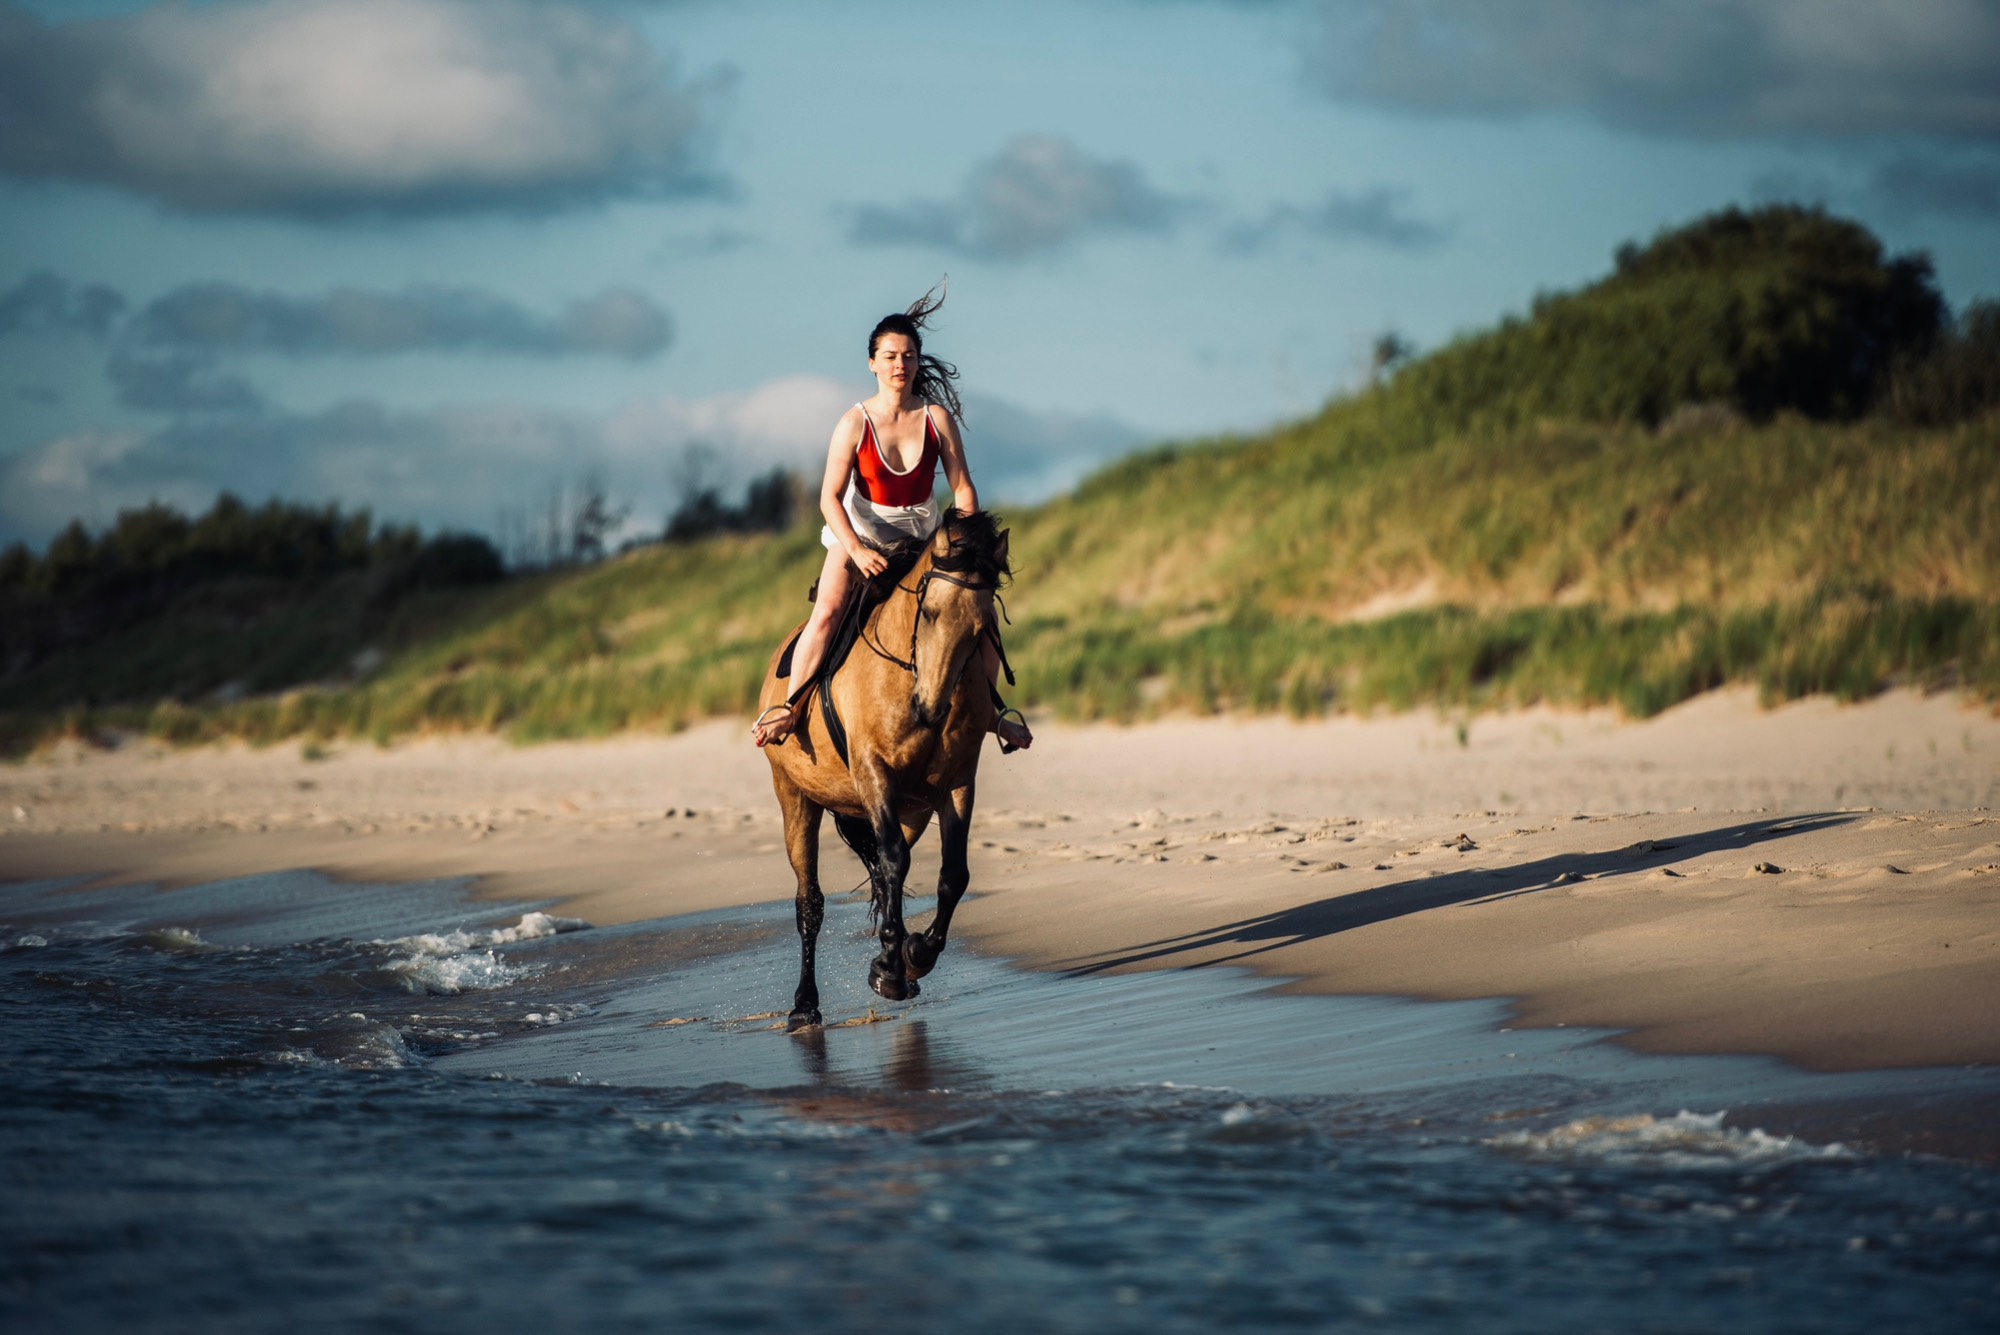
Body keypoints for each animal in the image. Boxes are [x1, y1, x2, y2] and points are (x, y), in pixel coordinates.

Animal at [760, 507, 1024, 1031]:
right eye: (930, 612)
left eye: (982, 629)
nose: (931, 709)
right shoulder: (873, 772)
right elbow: (895, 863)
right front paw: (890, 968)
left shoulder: (957, 783)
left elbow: (951, 874)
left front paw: (913, 955)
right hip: (795, 796)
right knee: (810, 901)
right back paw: (805, 1005)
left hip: (913, 810)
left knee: (885, 874)